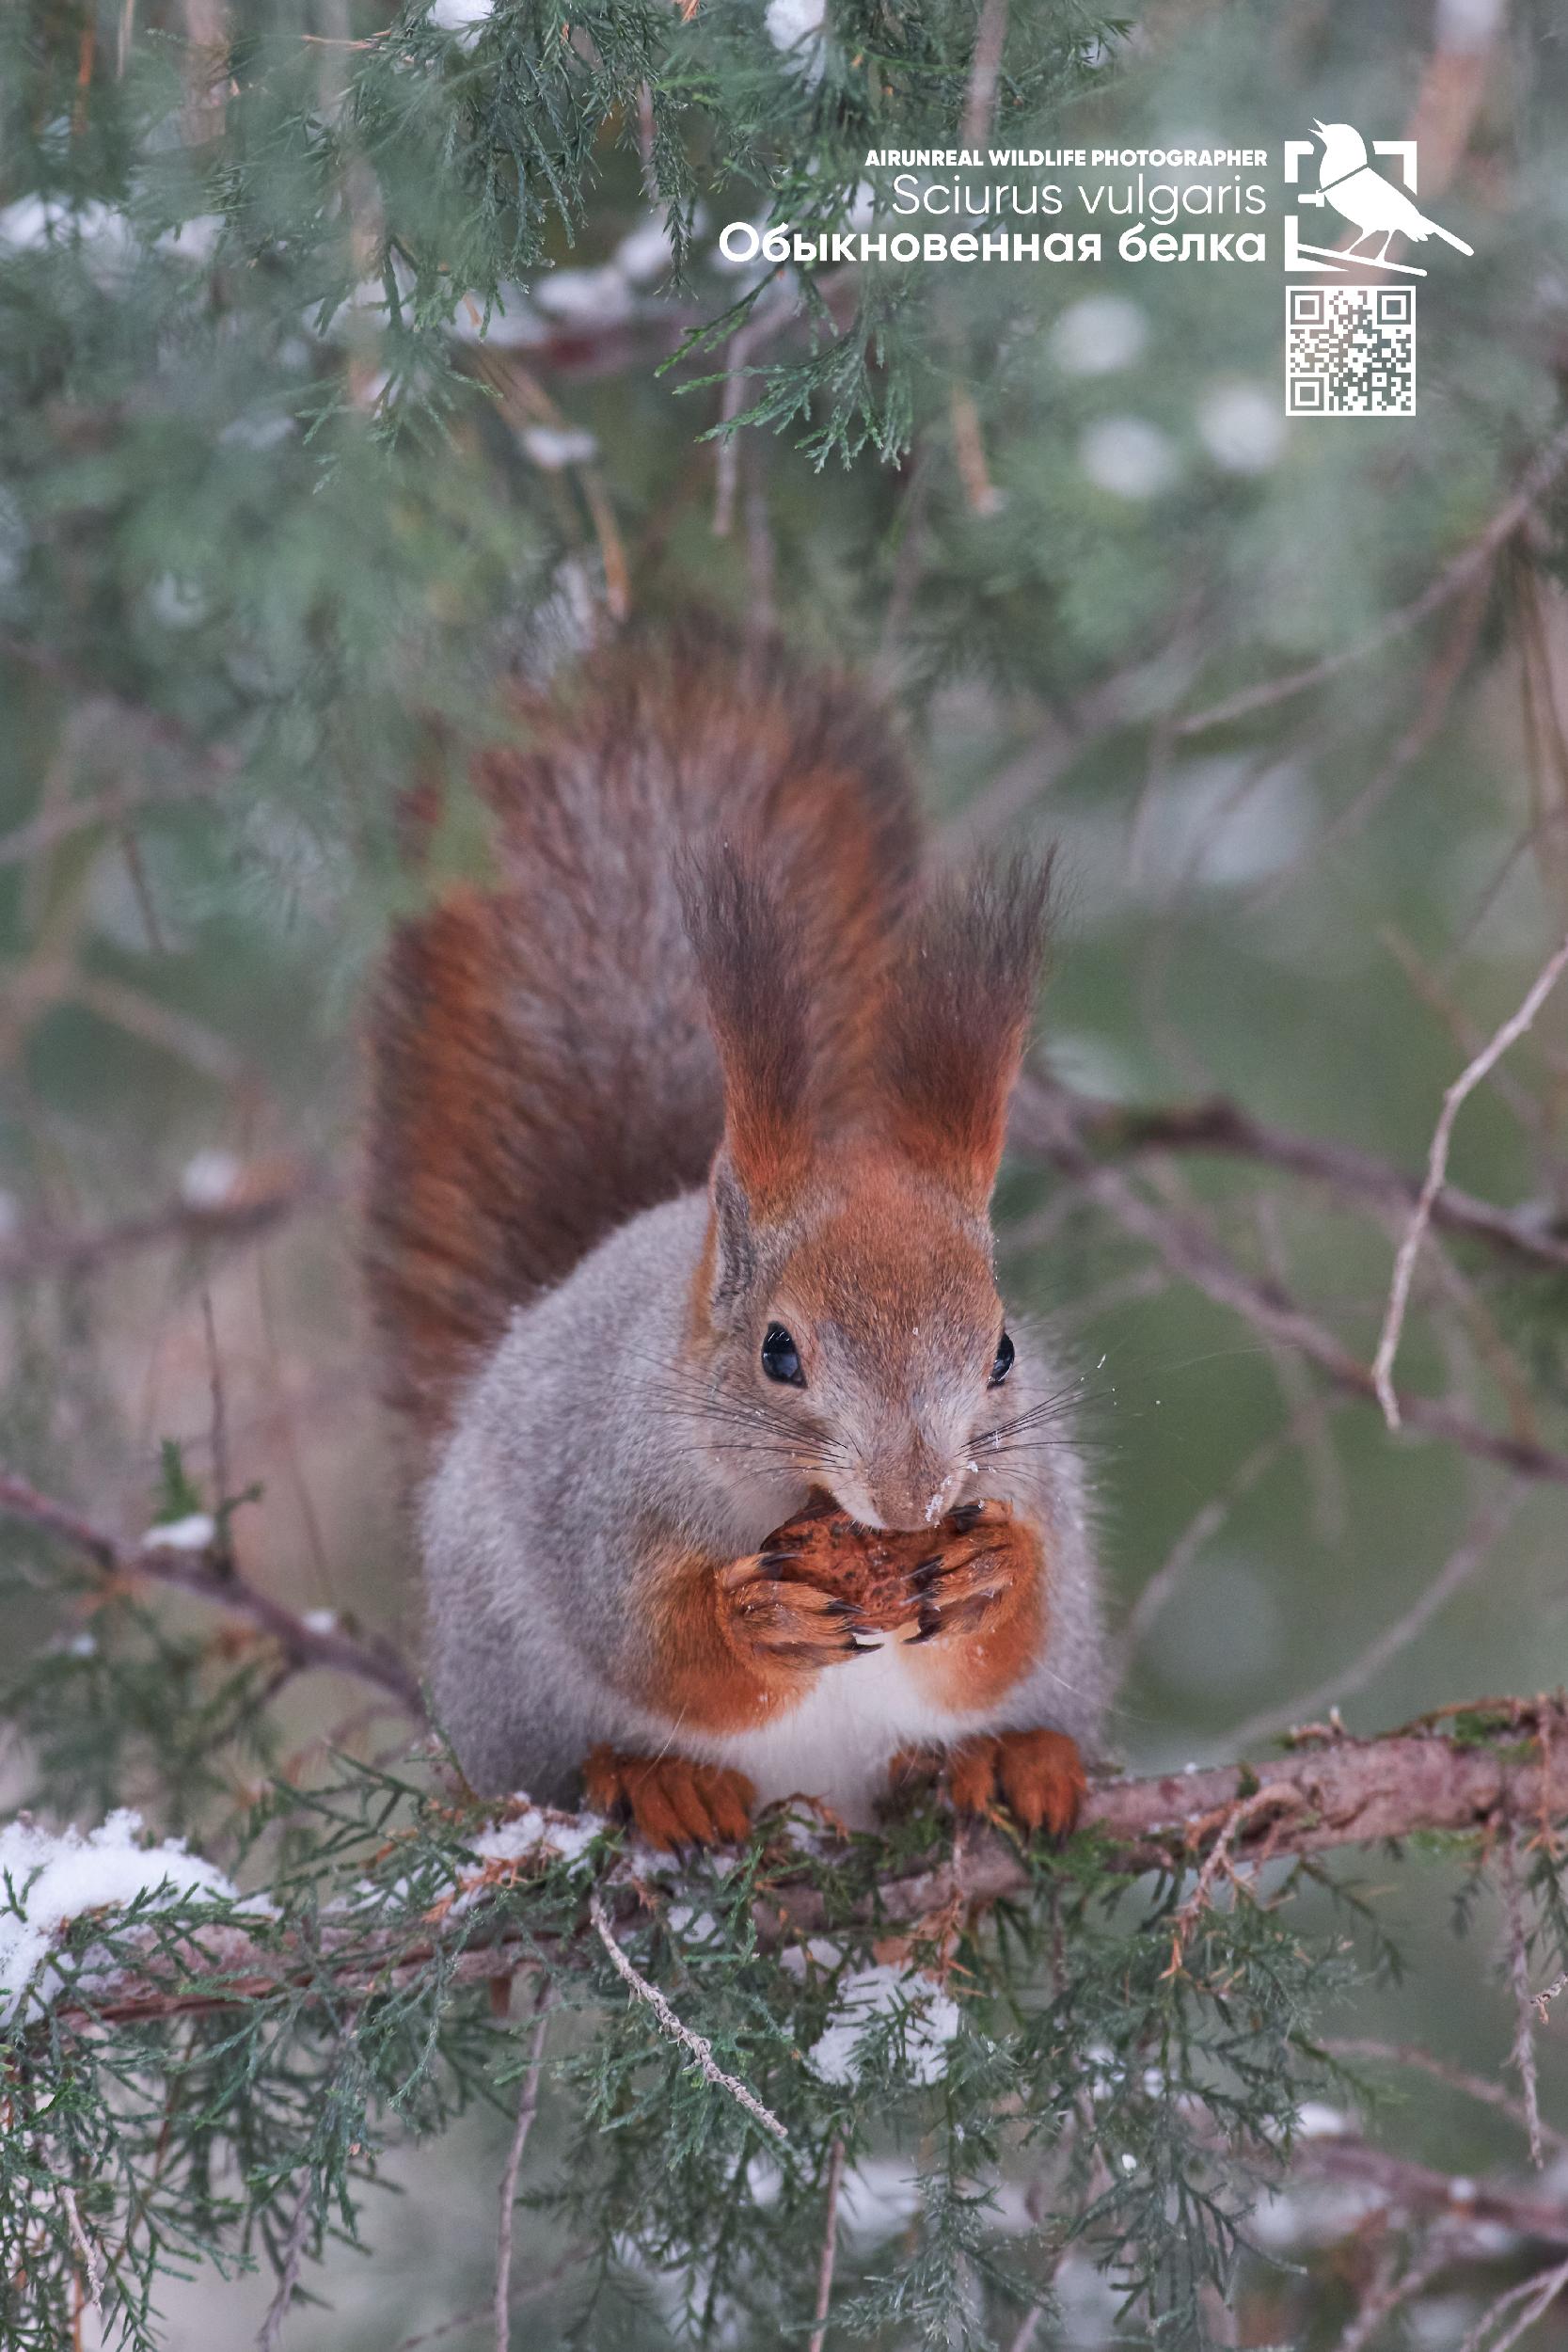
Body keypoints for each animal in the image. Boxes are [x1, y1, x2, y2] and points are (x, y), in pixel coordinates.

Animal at [366, 626, 1104, 1853]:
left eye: (1001, 1350)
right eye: (777, 1352)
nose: (911, 1499)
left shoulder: (1032, 1482)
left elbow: (1003, 1641)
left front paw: (991, 1572)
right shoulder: (605, 1497)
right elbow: (660, 1650)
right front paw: (754, 1617)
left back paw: (1014, 1756)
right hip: (508, 1676)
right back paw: (657, 1779)